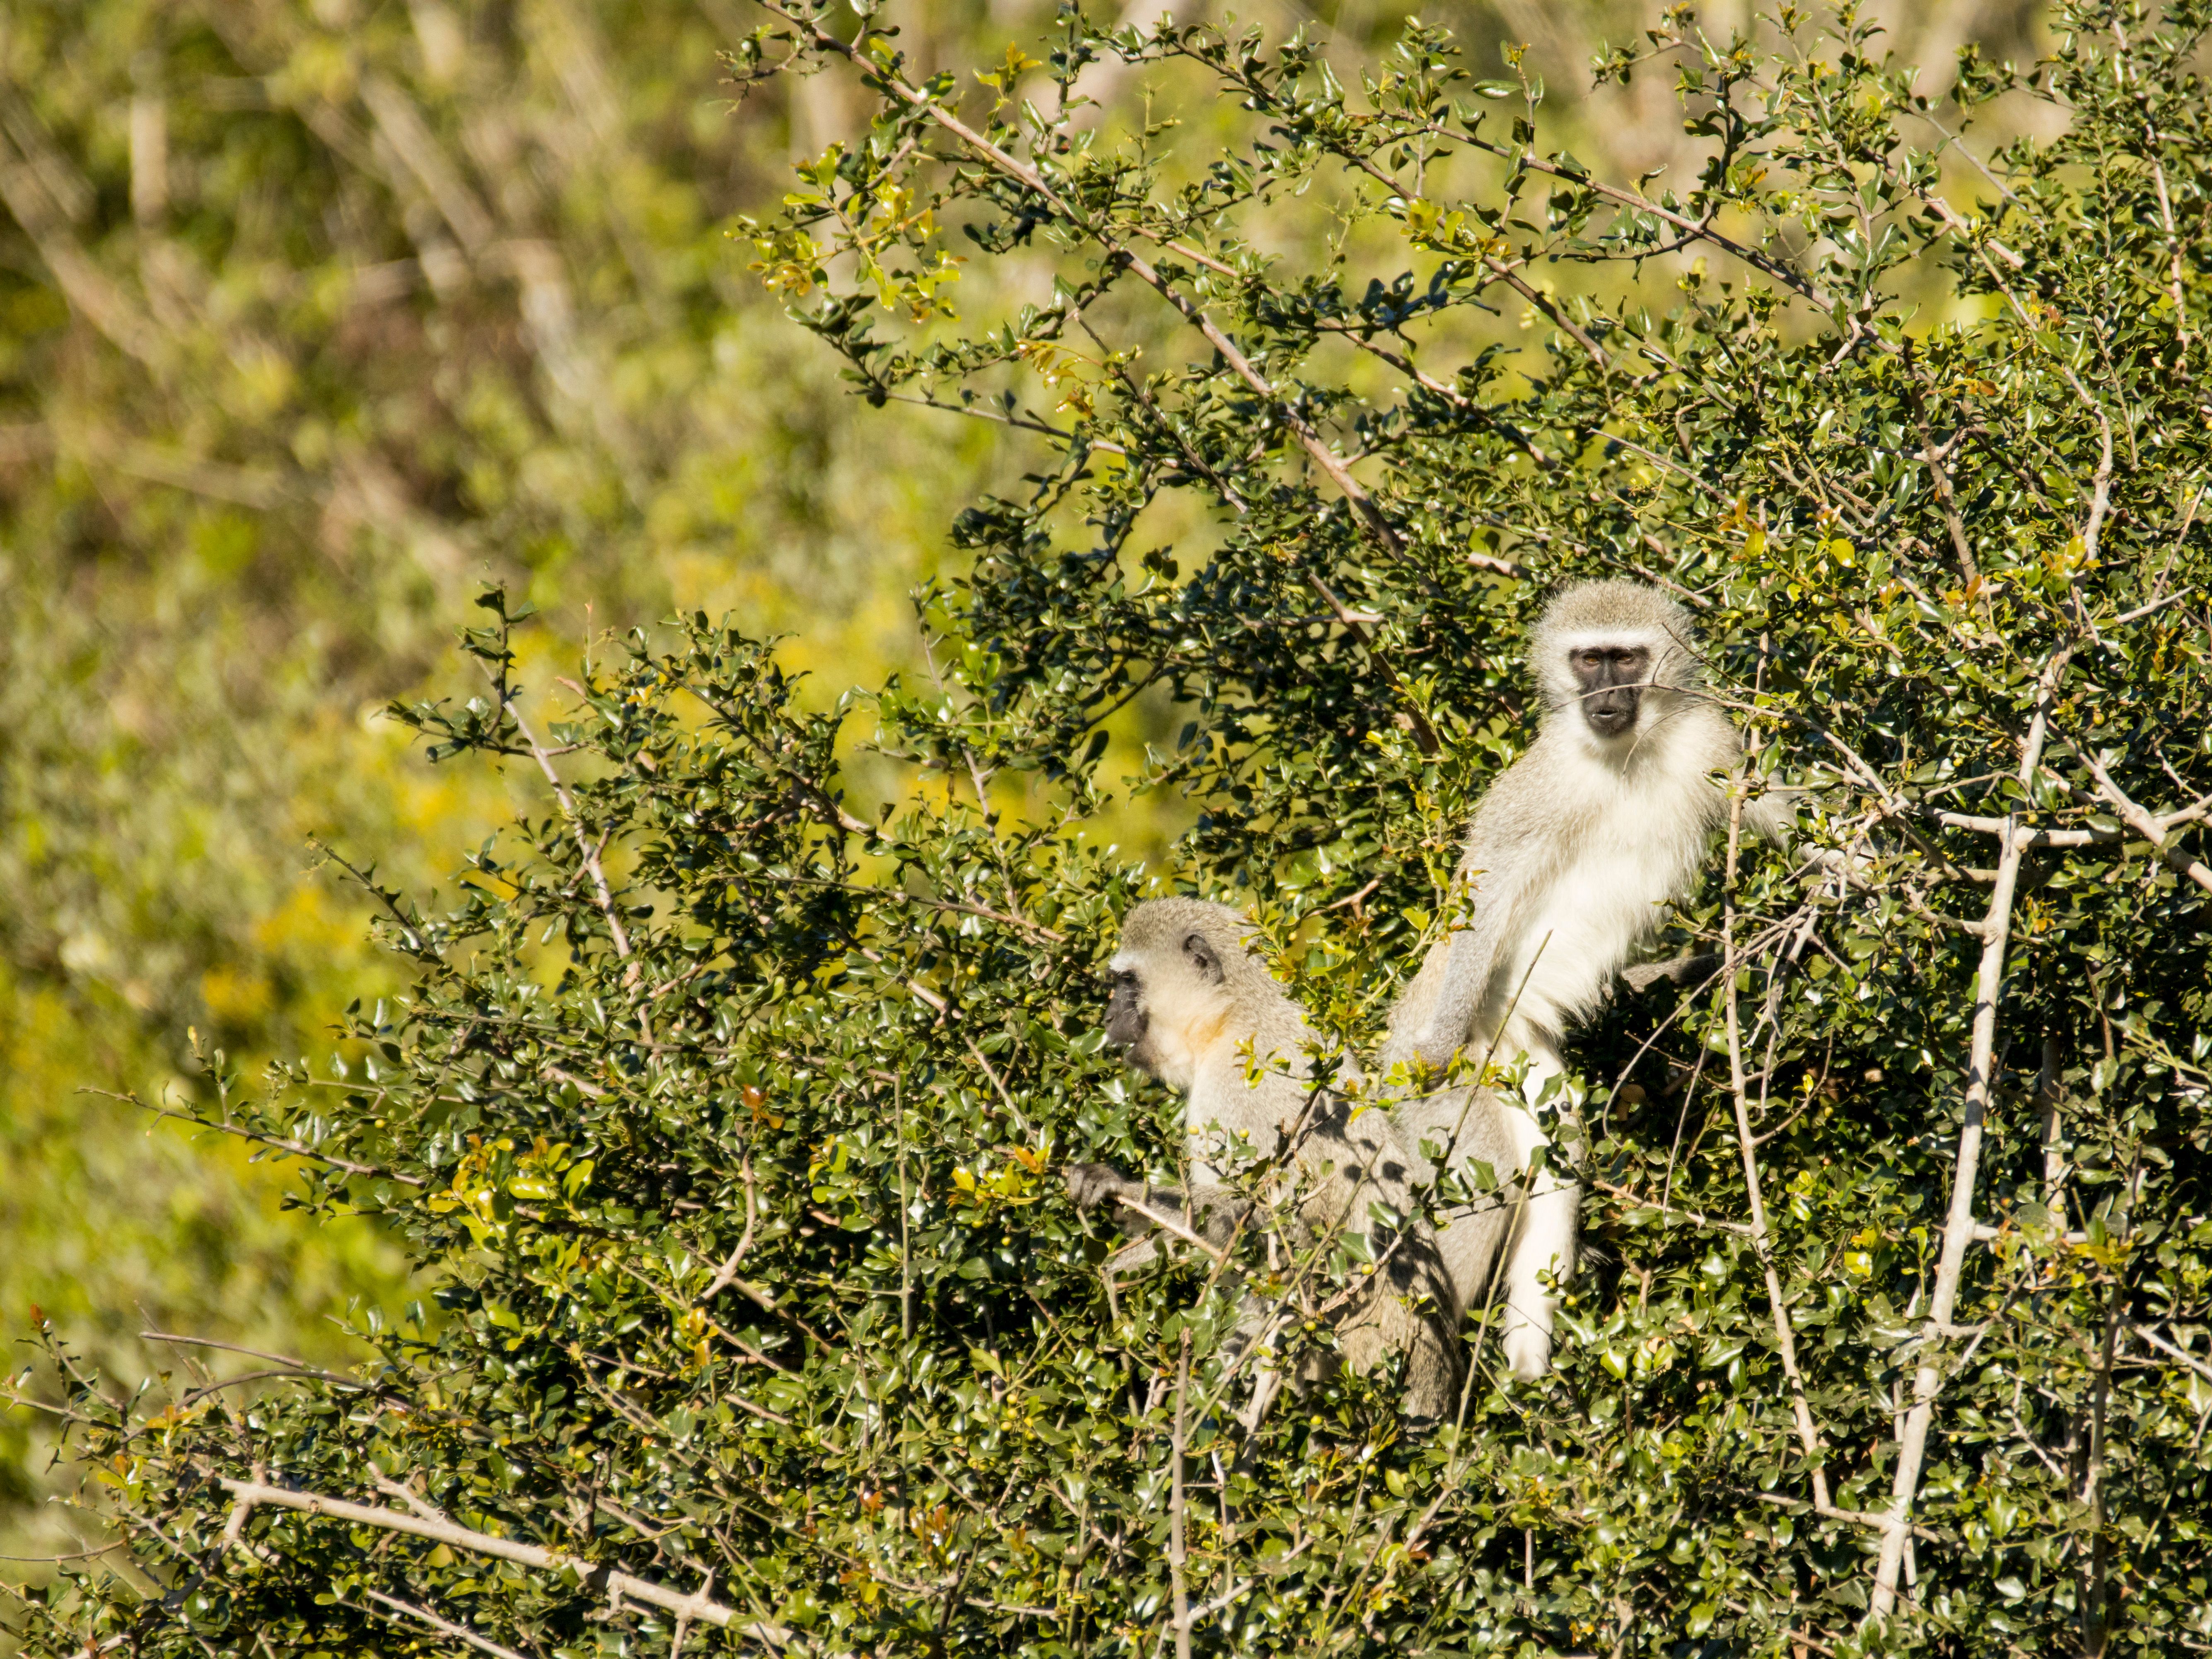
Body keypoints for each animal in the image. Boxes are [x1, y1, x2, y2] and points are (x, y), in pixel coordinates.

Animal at [1062, 898, 1463, 1420]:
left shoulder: (1235, 1091)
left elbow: (1288, 1229)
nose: (1109, 1018)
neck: (1236, 1014)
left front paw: (1114, 1187)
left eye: (1128, 983)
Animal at [1376, 579, 1795, 1380]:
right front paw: (1432, 1048)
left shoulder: (1715, 743)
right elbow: (1486, 894)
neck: (1625, 752)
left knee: (1557, 1156)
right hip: (1455, 1081)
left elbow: (1802, 826)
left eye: (1624, 657)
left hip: (1522, 1070)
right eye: (1586, 660)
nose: (1604, 694)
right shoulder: (1541, 787)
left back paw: (1530, 1377)